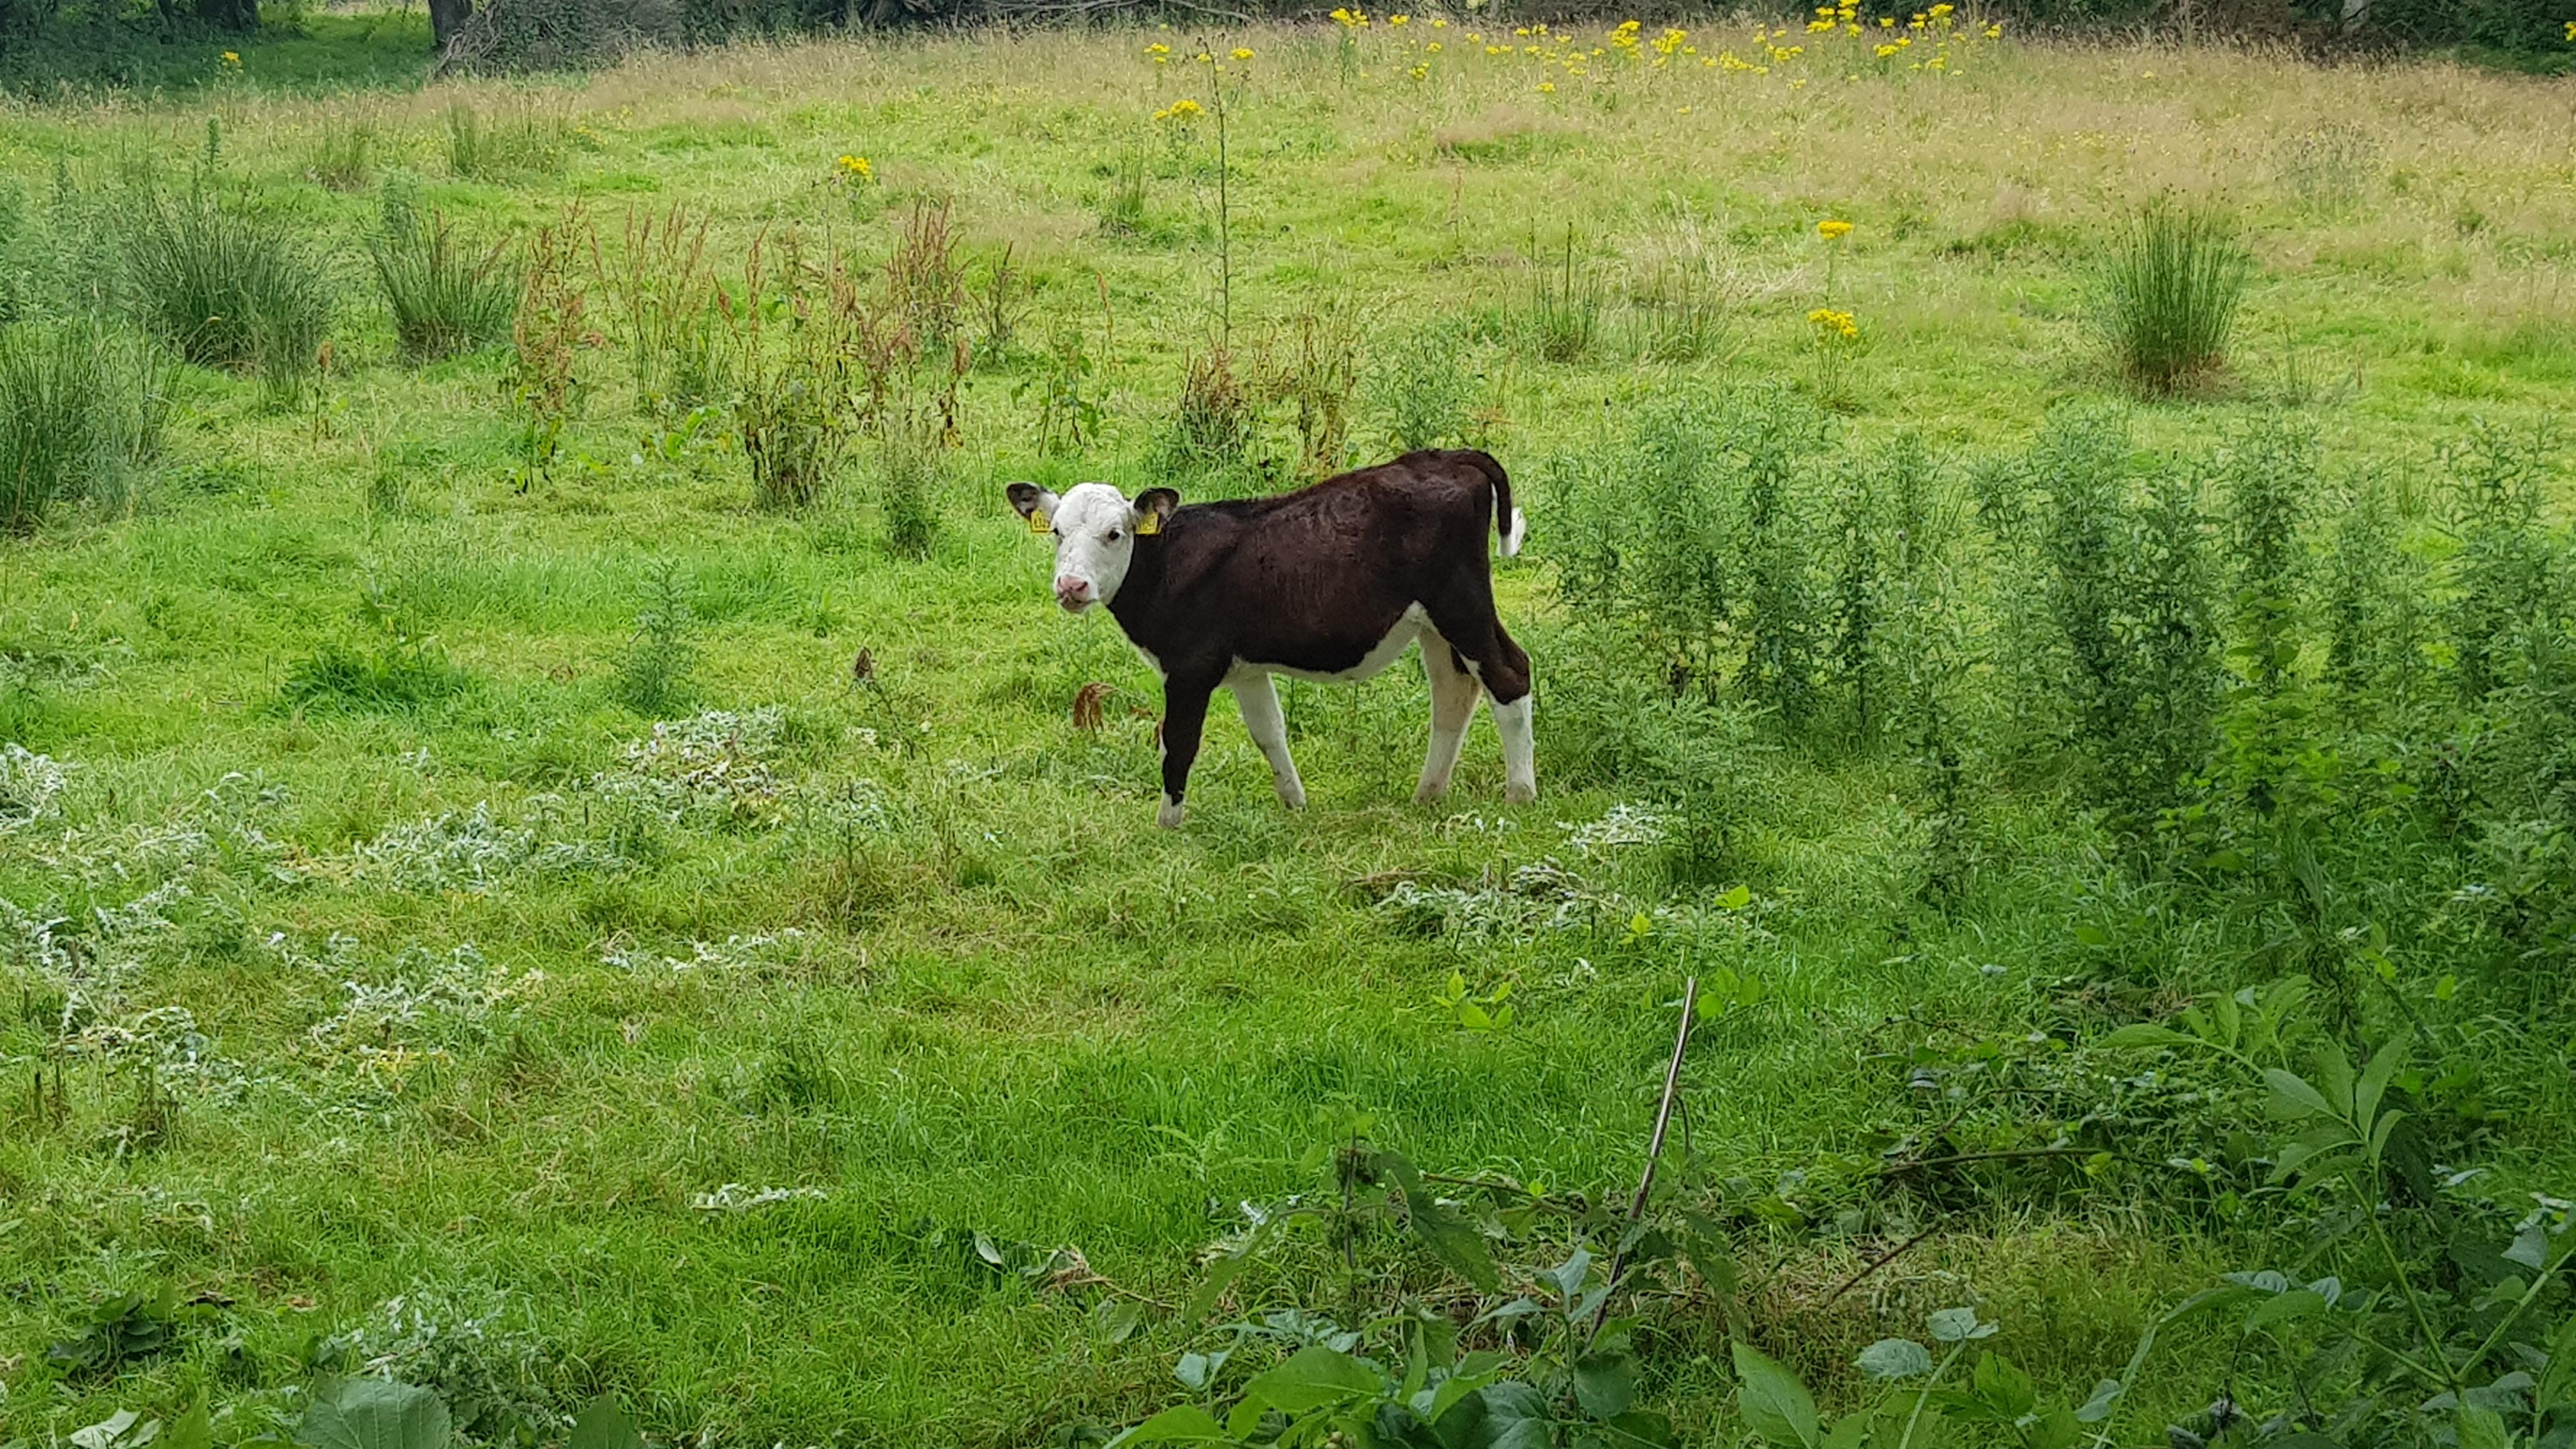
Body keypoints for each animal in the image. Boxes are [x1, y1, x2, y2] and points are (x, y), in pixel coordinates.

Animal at [1005, 449, 1535, 828]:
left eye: (1115, 533)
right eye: (1056, 532)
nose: (1072, 586)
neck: (1164, 562)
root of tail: (1442, 456)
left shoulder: (1190, 668)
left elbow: (1178, 742)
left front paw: (1167, 825)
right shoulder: (1246, 669)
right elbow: (1269, 732)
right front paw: (1295, 805)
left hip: (1461, 603)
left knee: (1509, 675)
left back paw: (1521, 794)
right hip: (1433, 622)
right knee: (1454, 692)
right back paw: (1428, 794)